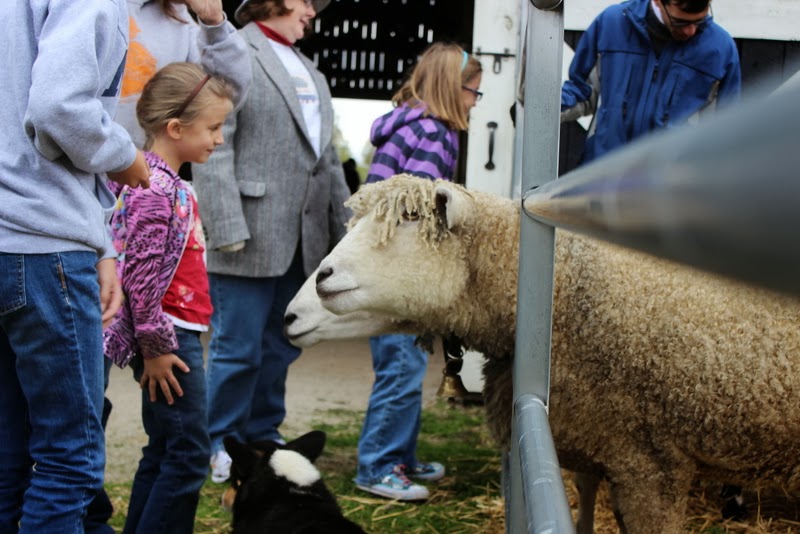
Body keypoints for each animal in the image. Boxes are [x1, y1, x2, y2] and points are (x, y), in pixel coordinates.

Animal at [307, 174, 800, 533]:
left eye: (411, 217)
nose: (322, 275)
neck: (563, 289)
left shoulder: (652, 464)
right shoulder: (595, 432)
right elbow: (583, 492)